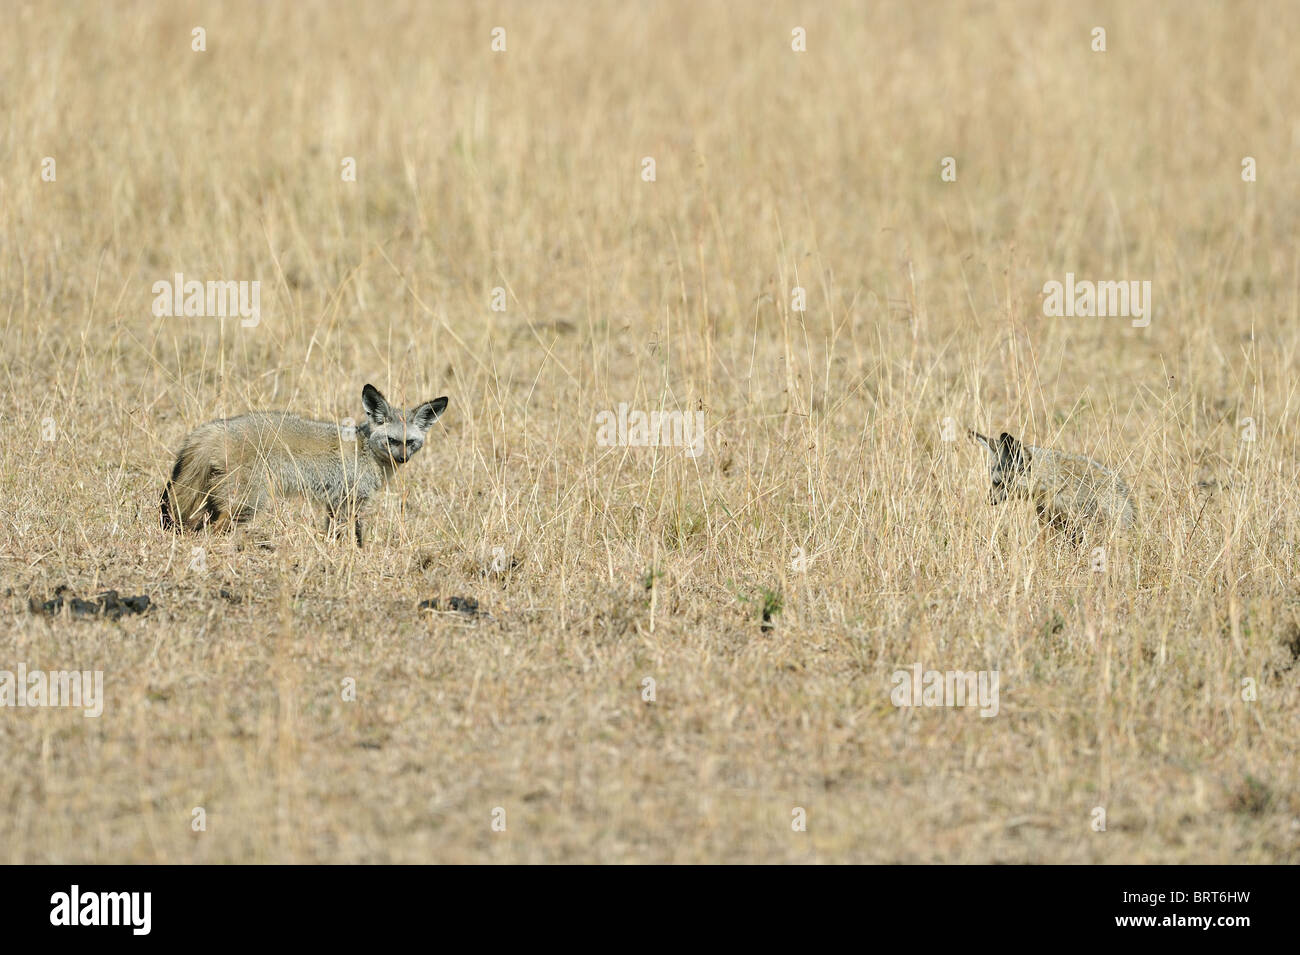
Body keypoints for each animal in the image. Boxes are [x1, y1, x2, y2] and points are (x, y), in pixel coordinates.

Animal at [159, 384, 448, 547]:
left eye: (410, 442)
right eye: (391, 440)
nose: (403, 459)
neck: (364, 447)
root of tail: (215, 427)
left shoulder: (336, 502)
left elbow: (334, 534)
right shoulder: (350, 501)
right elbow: (355, 536)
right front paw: (359, 554)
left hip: (220, 499)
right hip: (248, 503)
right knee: (214, 531)